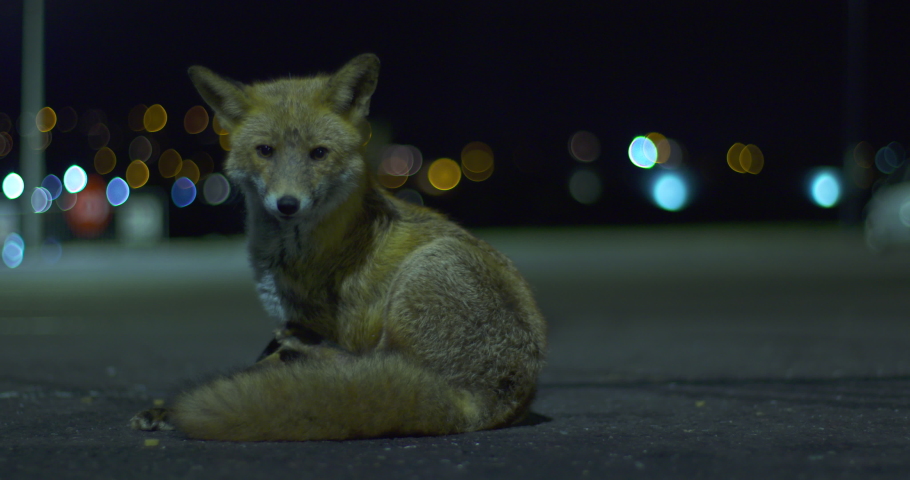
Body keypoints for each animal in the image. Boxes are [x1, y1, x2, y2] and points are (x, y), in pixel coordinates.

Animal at [130, 53, 547, 441]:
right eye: (265, 151)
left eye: (318, 153)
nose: (287, 204)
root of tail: (481, 405)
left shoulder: (336, 325)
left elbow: (272, 364)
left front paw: (168, 411)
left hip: (424, 271)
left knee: (368, 365)